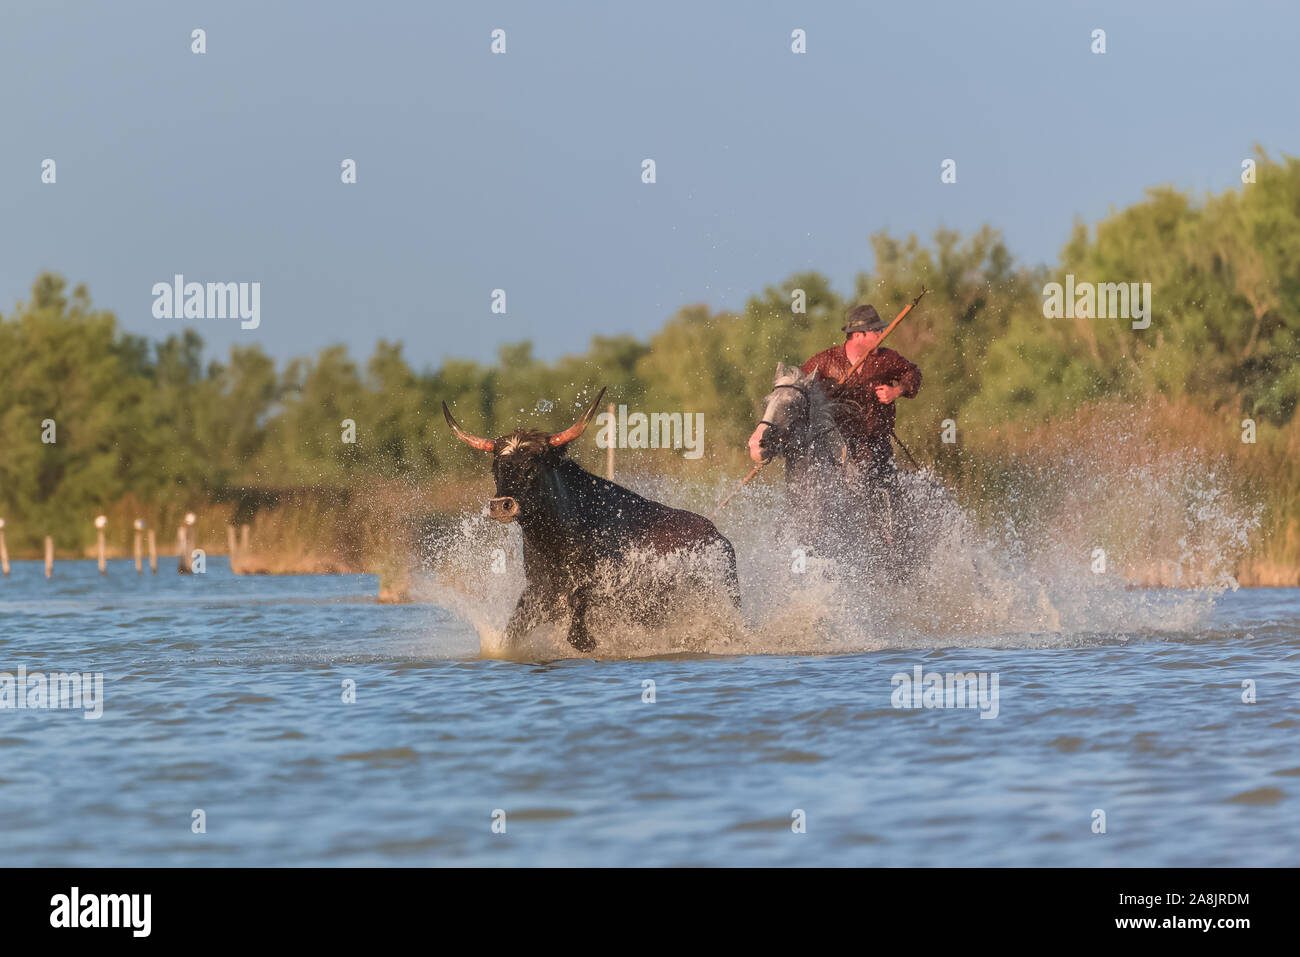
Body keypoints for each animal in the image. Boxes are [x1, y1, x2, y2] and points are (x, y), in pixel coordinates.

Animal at [442, 388, 742, 652]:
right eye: (497, 468)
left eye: (533, 465)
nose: (501, 505)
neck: (555, 544)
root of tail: (719, 537)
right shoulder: (536, 595)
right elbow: (511, 633)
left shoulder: (610, 585)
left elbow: (580, 603)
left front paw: (585, 641)